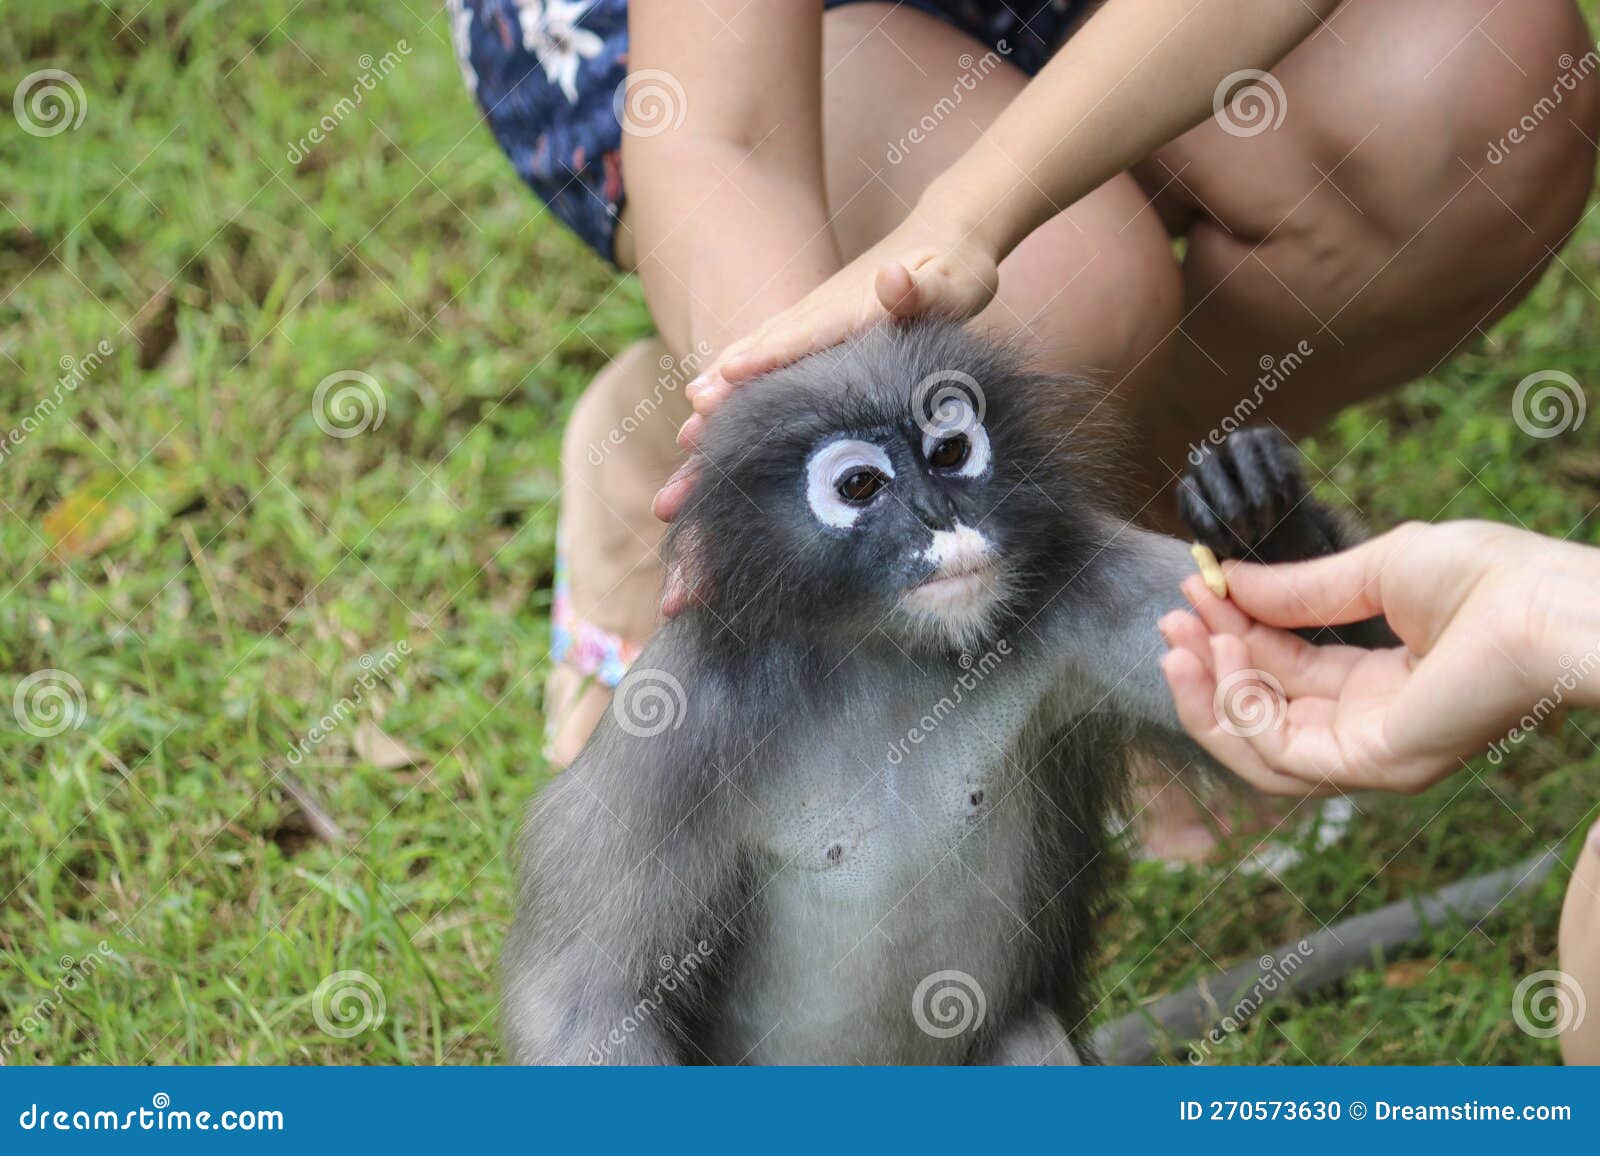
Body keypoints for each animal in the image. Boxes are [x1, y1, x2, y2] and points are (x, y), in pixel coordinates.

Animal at [502, 319, 1379, 1065]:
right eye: (860, 485)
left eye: (951, 451)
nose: (938, 516)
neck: (884, 654)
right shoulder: (680, 719)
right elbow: (588, 1003)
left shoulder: (1076, 582)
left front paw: (1261, 516)